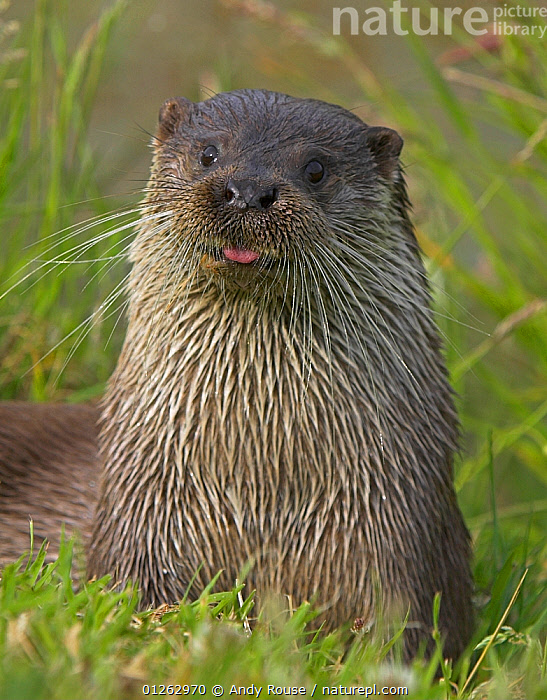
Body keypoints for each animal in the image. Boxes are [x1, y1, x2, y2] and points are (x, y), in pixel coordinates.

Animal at [0, 90, 473, 659]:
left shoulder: (399, 548)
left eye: (316, 168)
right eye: (208, 153)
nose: (246, 191)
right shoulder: (140, 526)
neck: (258, 490)